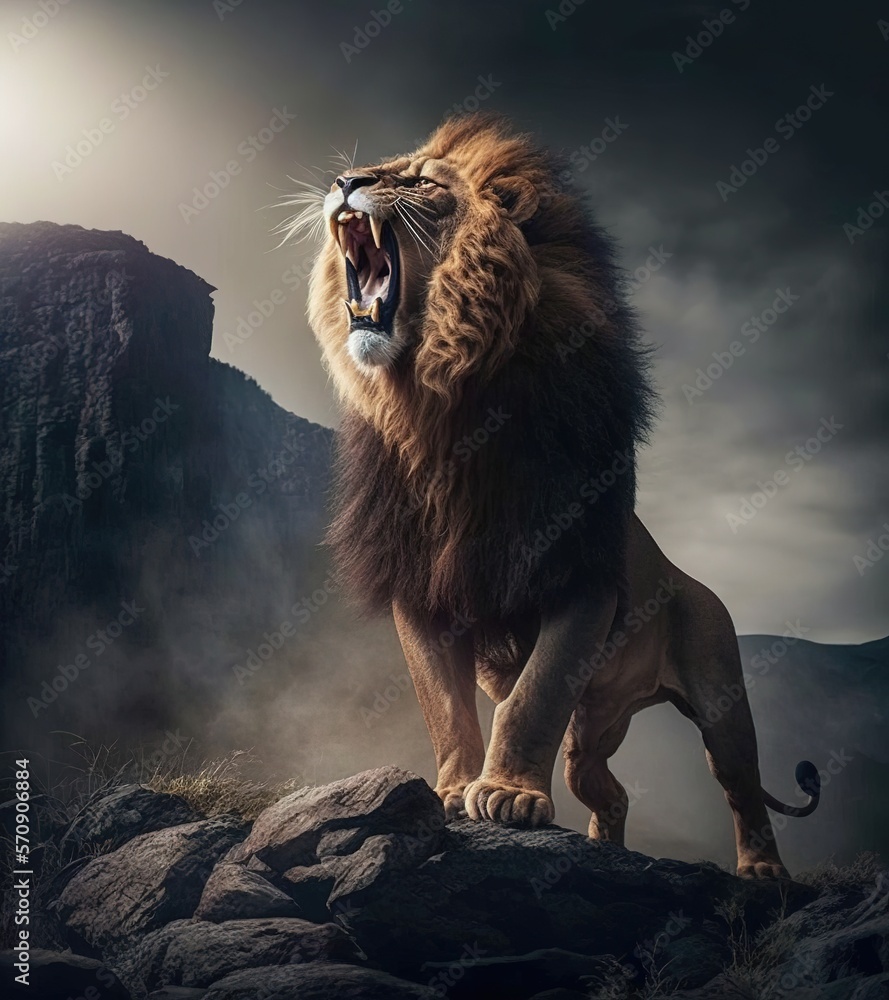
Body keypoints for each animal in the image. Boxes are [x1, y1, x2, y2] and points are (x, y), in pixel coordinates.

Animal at [296, 113, 820, 878]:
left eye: (420, 182)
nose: (344, 182)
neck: (439, 402)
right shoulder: (419, 586)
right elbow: (445, 706)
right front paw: (454, 790)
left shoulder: (581, 575)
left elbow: (531, 698)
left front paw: (509, 797)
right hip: (593, 730)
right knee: (608, 787)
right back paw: (605, 848)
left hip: (720, 692)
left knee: (740, 786)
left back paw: (762, 871)